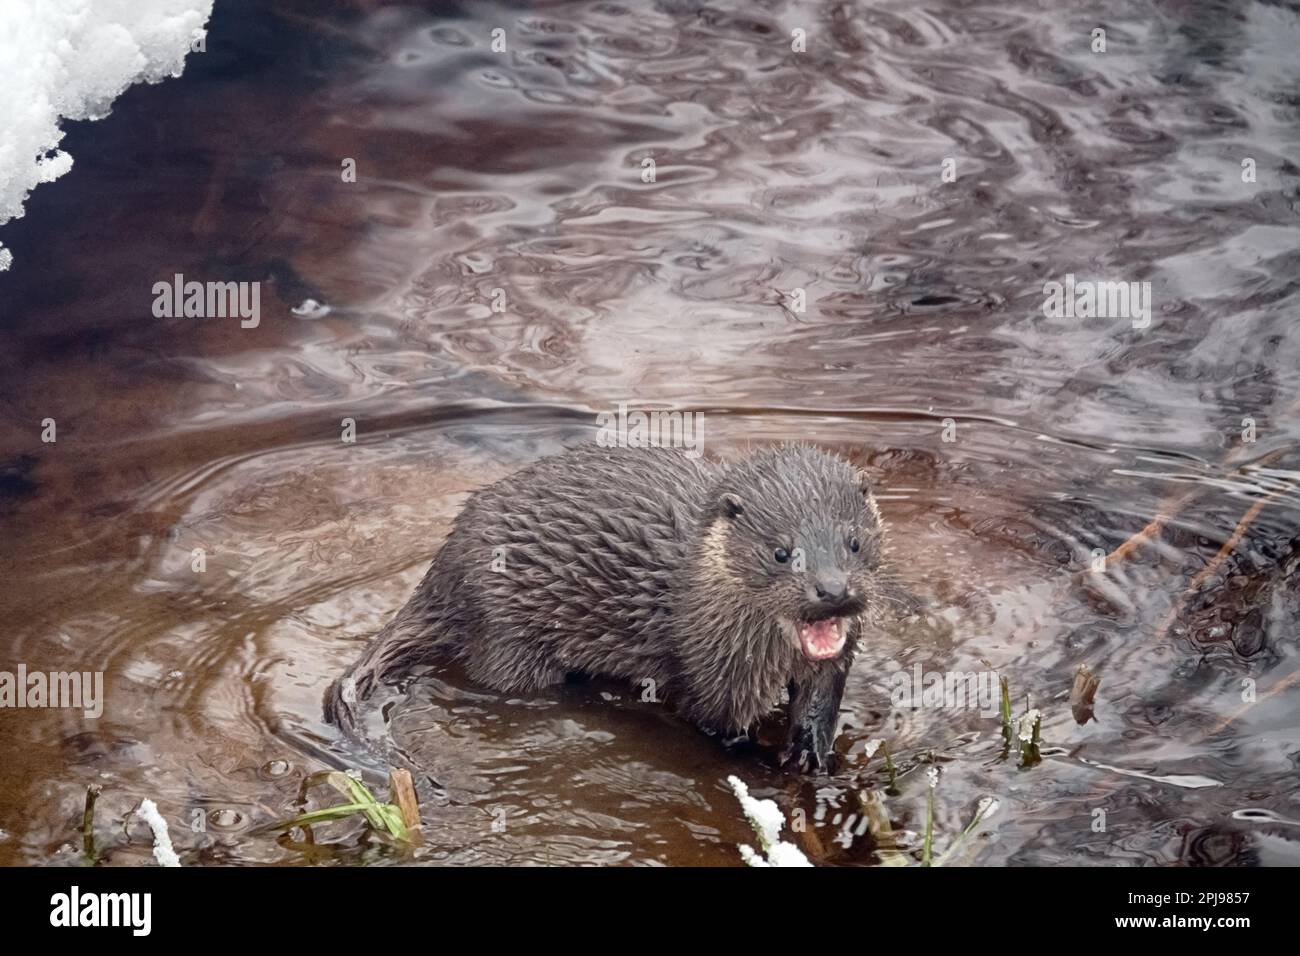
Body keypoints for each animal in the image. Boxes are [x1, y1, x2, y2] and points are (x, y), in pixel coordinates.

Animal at [325, 443, 907, 771]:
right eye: (782, 552)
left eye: (854, 542)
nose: (832, 590)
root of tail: (444, 565)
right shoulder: (712, 677)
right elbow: (718, 728)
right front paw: (759, 761)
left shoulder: (835, 660)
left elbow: (819, 703)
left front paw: (811, 755)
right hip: (504, 631)